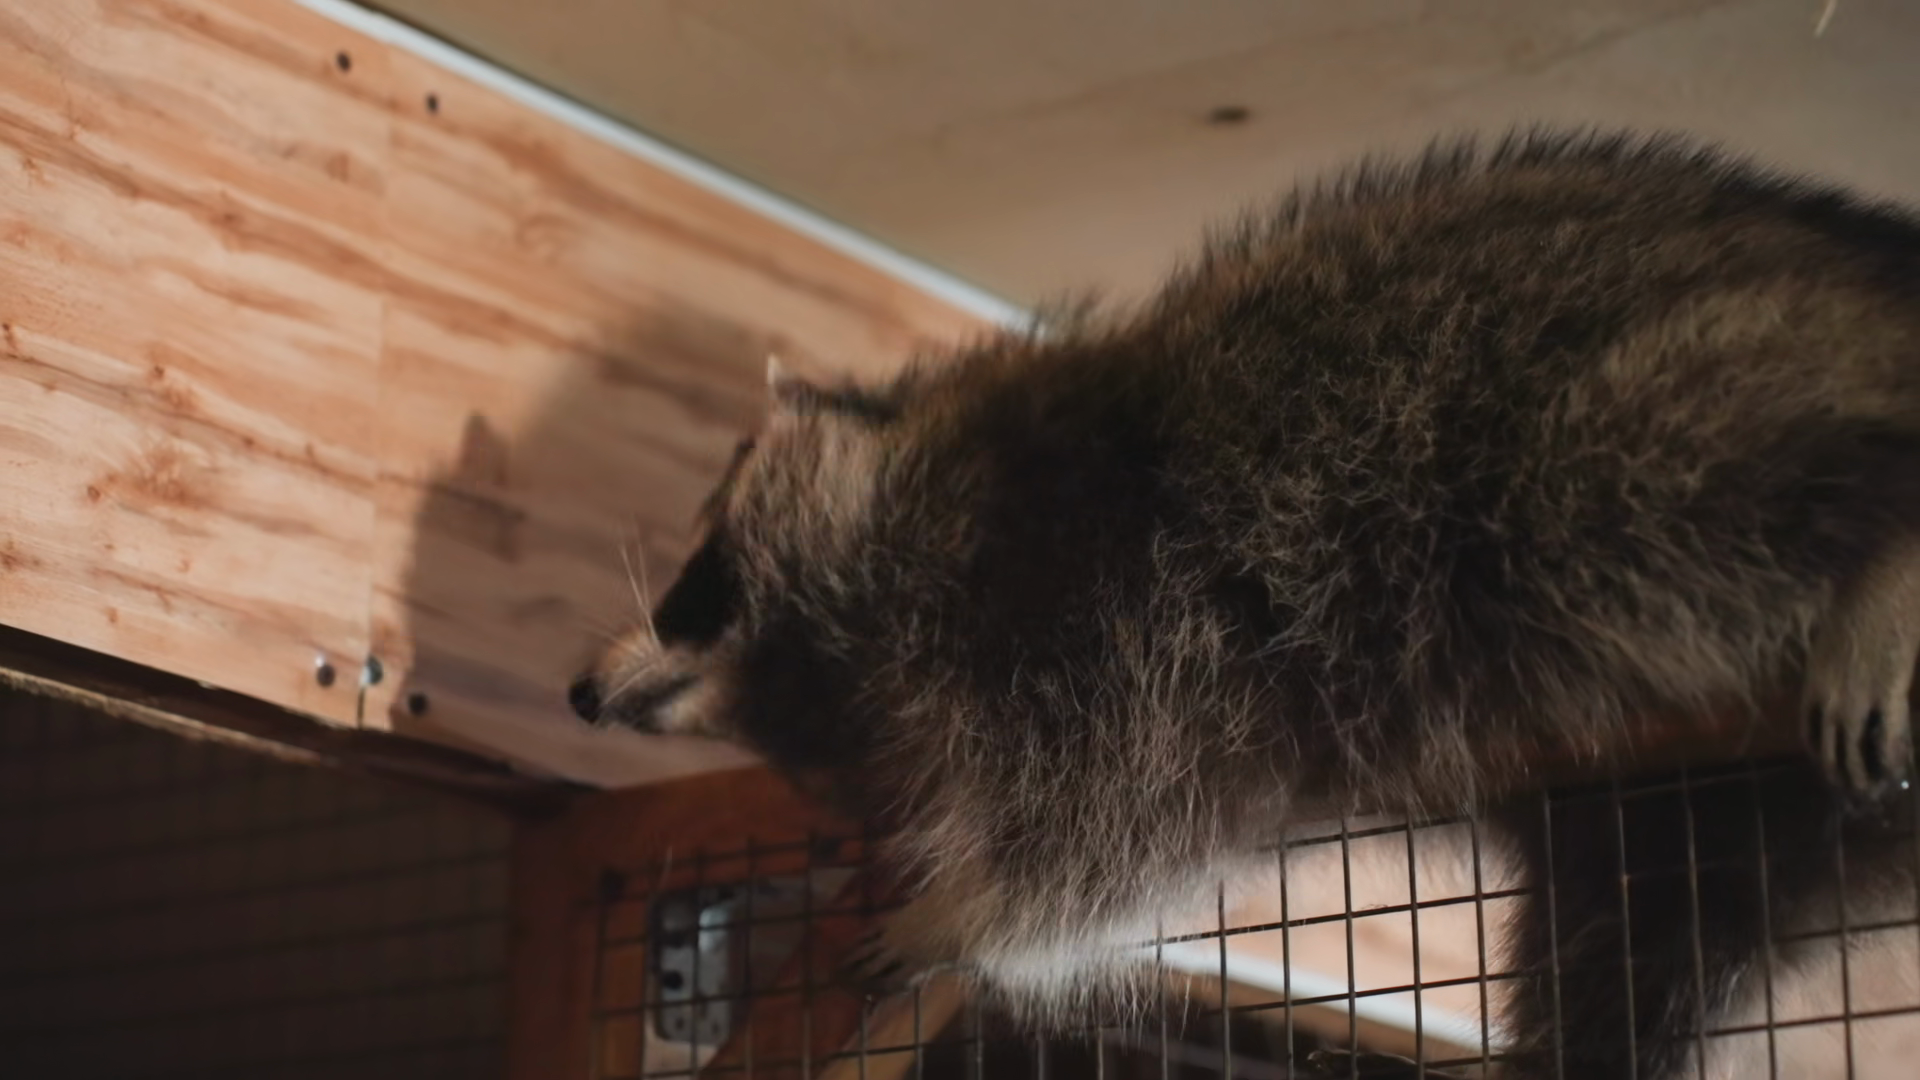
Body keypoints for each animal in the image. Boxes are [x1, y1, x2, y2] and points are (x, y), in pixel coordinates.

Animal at [570, 129, 1920, 1079]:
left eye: (695, 585)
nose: (579, 692)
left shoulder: (1099, 596)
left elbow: (1116, 825)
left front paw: (975, 915)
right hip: (1684, 829)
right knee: (1631, 952)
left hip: (1622, 401)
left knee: (1663, 466)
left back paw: (1886, 539)